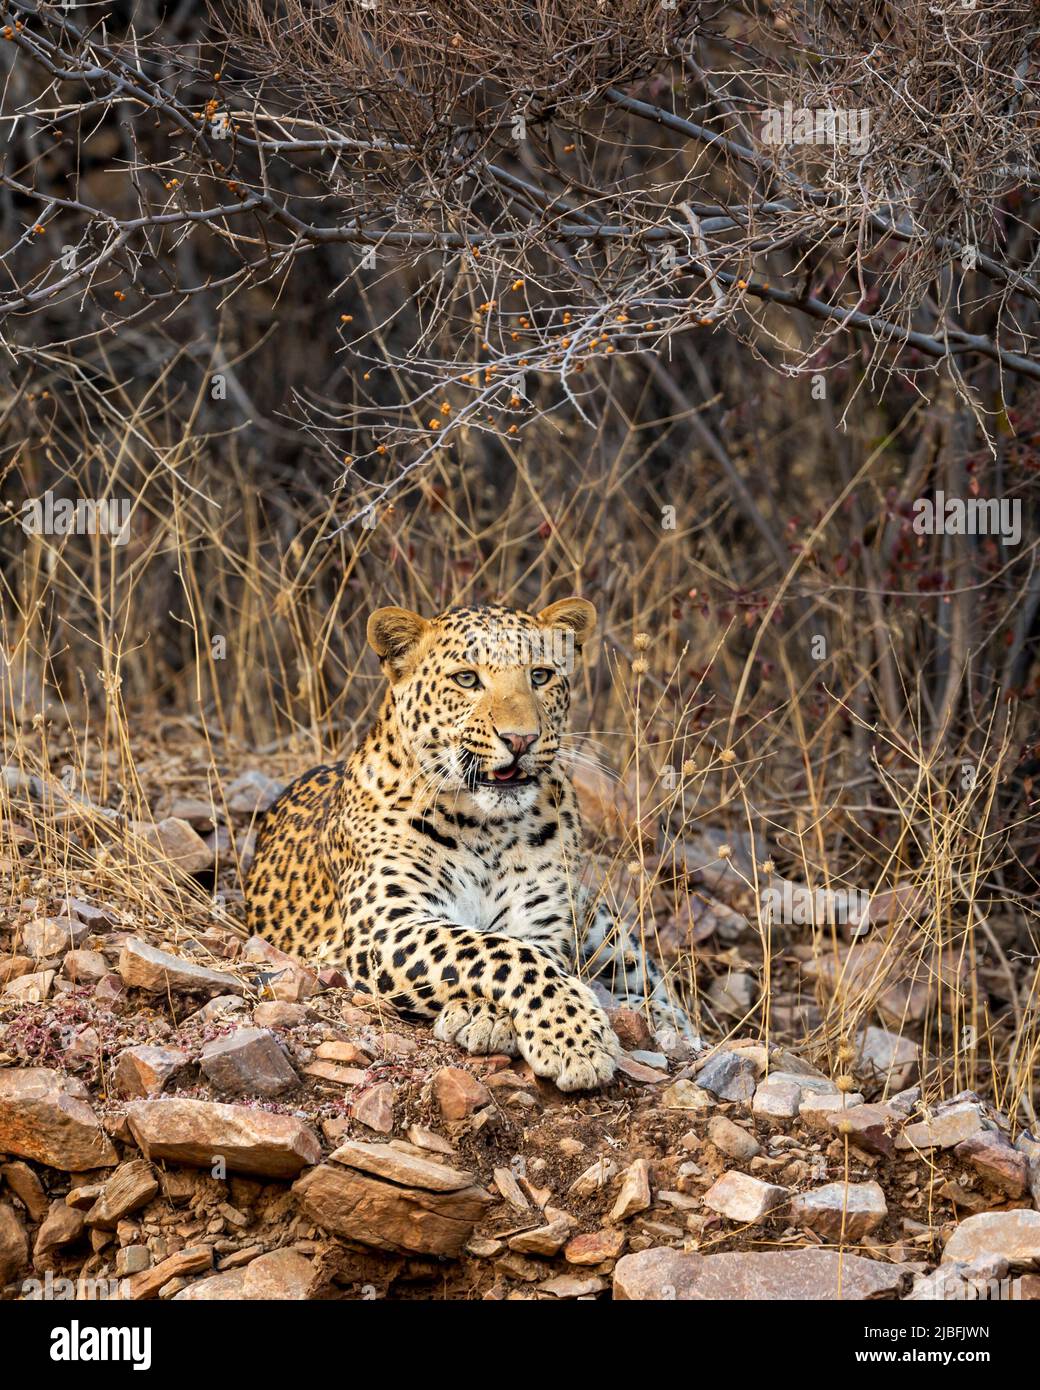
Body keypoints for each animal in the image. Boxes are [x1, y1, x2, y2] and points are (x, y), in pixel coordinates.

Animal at [245, 597, 693, 1091]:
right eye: (466, 679)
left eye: (540, 675)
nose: (521, 739)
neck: (484, 828)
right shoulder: (386, 925)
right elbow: (499, 951)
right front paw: (573, 1039)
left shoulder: (542, 922)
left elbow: (527, 954)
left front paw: (545, 1029)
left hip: (599, 923)